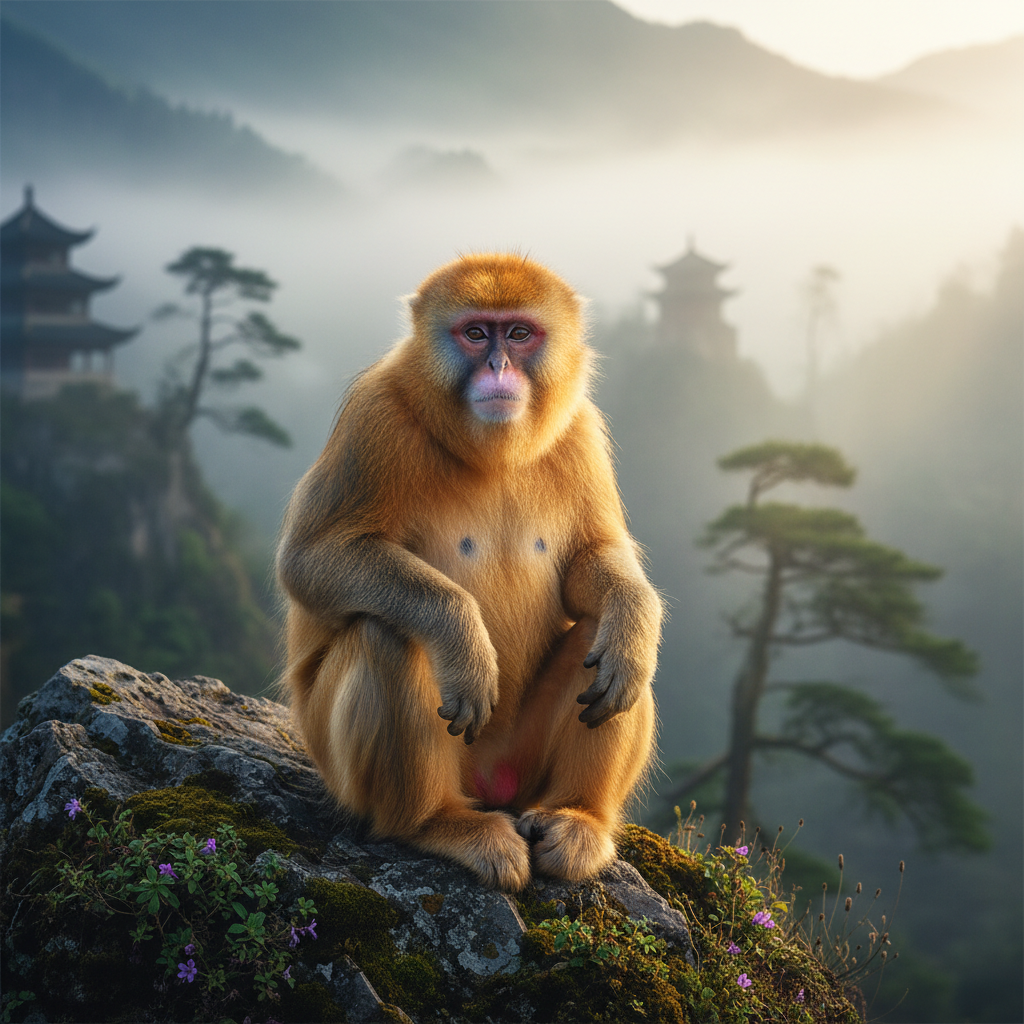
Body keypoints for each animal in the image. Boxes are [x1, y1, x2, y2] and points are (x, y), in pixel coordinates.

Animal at [277, 253, 662, 891]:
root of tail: (491, 786)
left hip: (522, 765)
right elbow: (311, 559)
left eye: (520, 333)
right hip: (351, 766)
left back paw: (580, 817)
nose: (499, 366)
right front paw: (461, 636)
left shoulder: (580, 430)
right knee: (386, 635)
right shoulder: (374, 417)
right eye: (477, 333)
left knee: (600, 643)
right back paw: (434, 824)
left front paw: (632, 618)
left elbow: (590, 561)